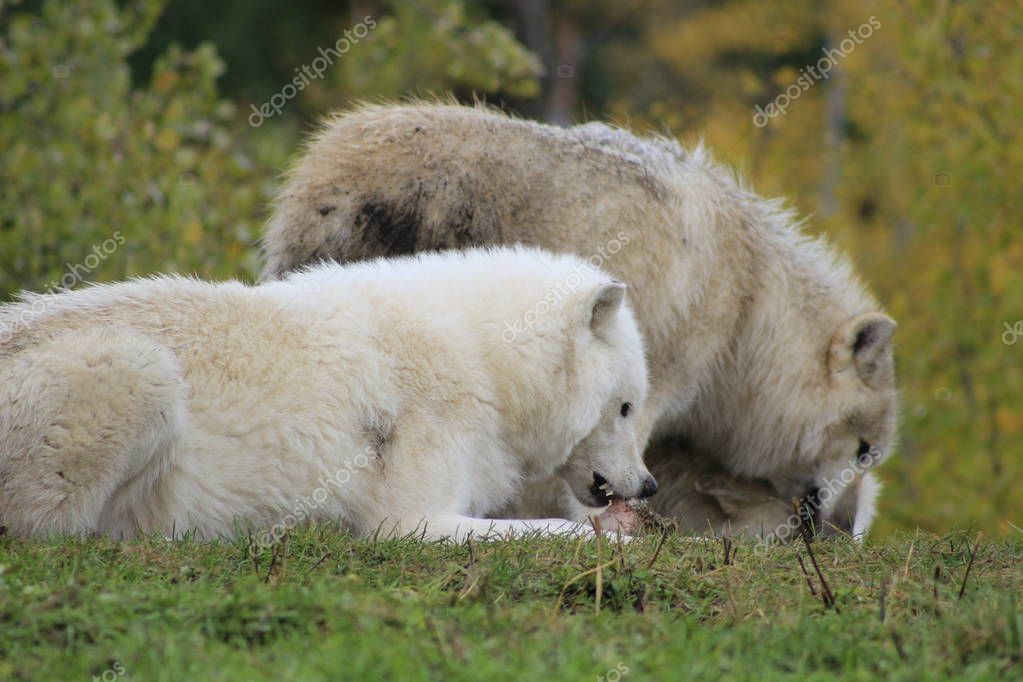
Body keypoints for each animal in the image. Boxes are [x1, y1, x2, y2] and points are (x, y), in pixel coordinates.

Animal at [0, 247, 654, 541]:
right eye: (626, 408)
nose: (649, 486)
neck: (490, 362)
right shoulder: (409, 521)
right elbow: (565, 529)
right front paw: (614, 539)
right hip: (143, 369)